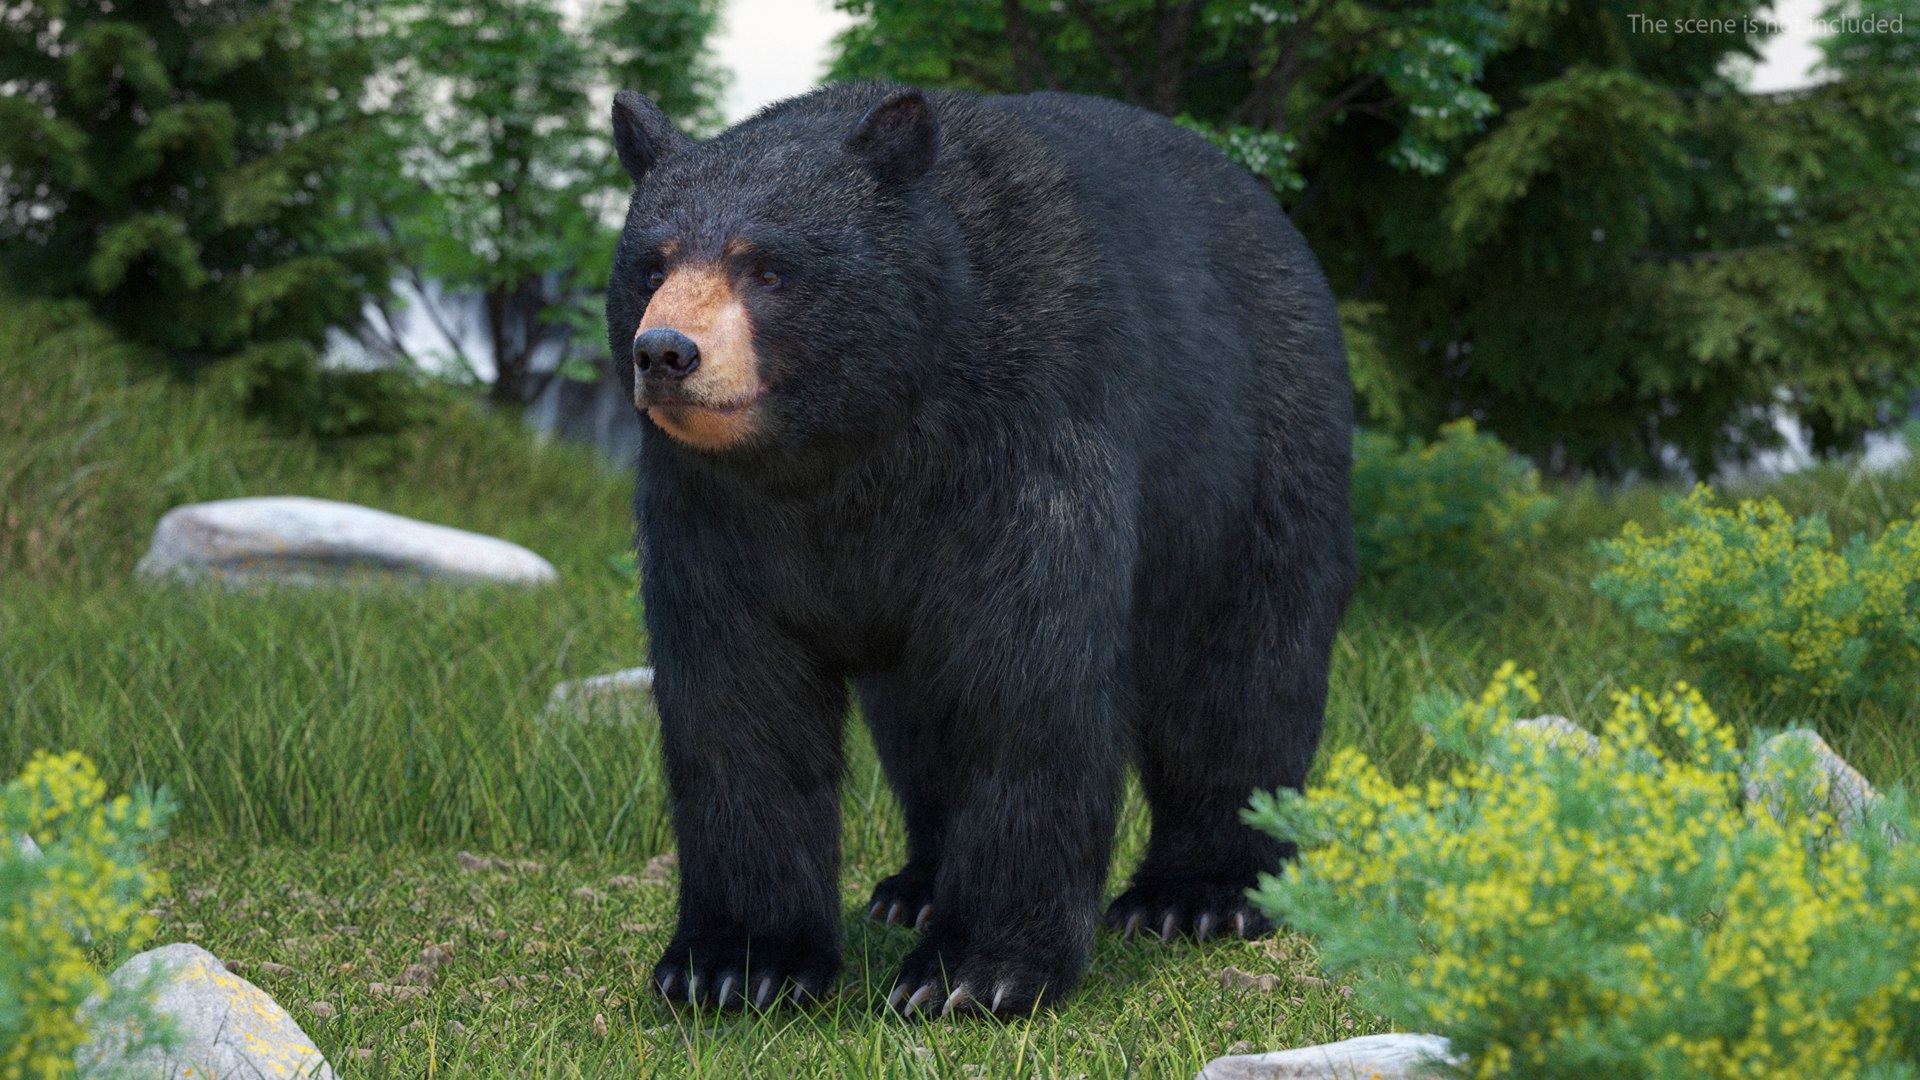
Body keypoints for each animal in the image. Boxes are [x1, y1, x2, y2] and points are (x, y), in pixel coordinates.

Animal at [605, 82, 1354, 1017]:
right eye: (652, 265)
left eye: (767, 267)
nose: (666, 351)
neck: (849, 449)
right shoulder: (713, 504)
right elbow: (736, 693)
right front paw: (735, 962)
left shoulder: (1028, 425)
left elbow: (1025, 677)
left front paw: (973, 971)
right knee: (917, 721)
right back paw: (914, 886)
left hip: (1256, 454)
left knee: (1239, 671)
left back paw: (1199, 896)